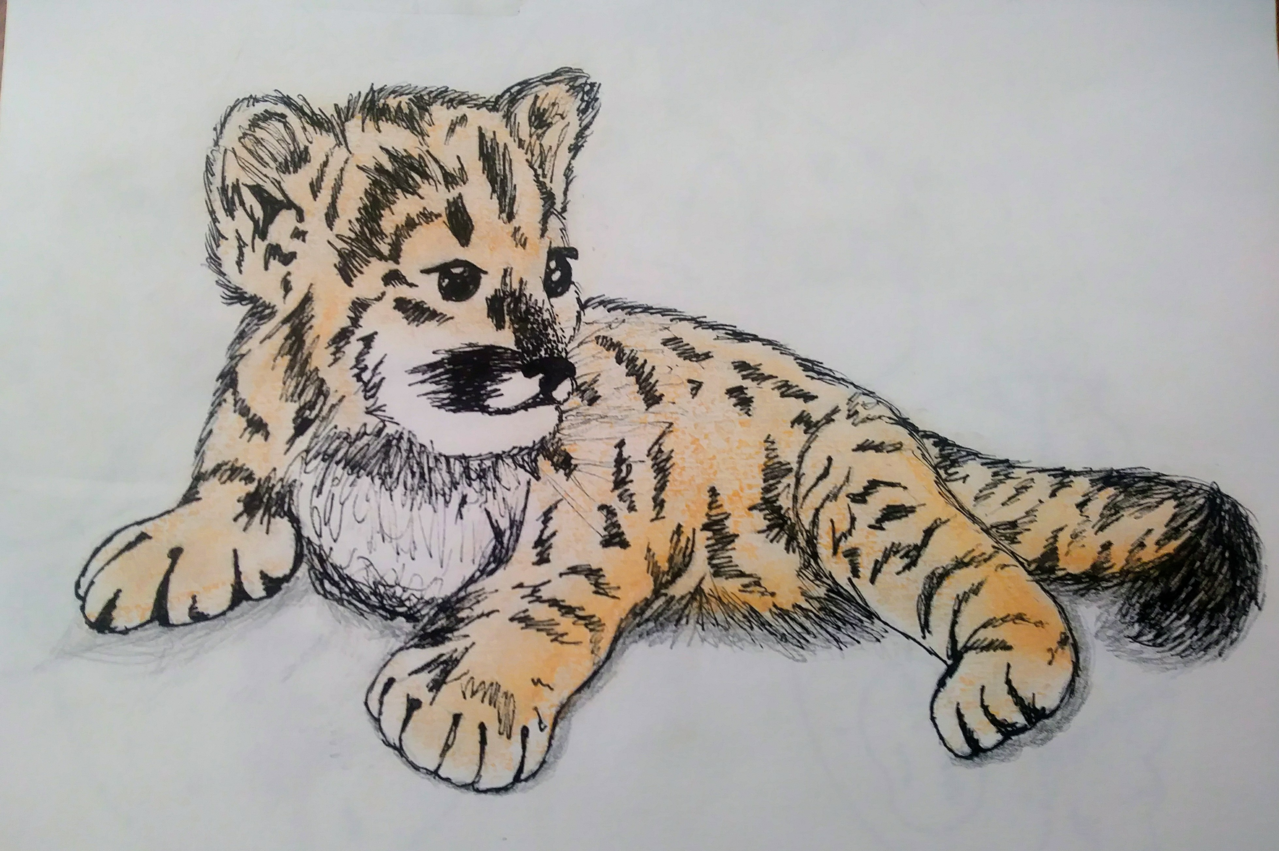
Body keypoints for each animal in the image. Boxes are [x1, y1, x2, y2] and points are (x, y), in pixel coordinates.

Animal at [76, 69, 1263, 792]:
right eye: (455, 280)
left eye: (559, 271)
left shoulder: (593, 528)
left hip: (856, 492)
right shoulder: (261, 438)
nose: (555, 364)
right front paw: (152, 554)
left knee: (995, 576)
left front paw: (464, 697)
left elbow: (537, 605)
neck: (397, 447)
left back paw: (998, 681)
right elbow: (231, 481)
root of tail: (889, 413)